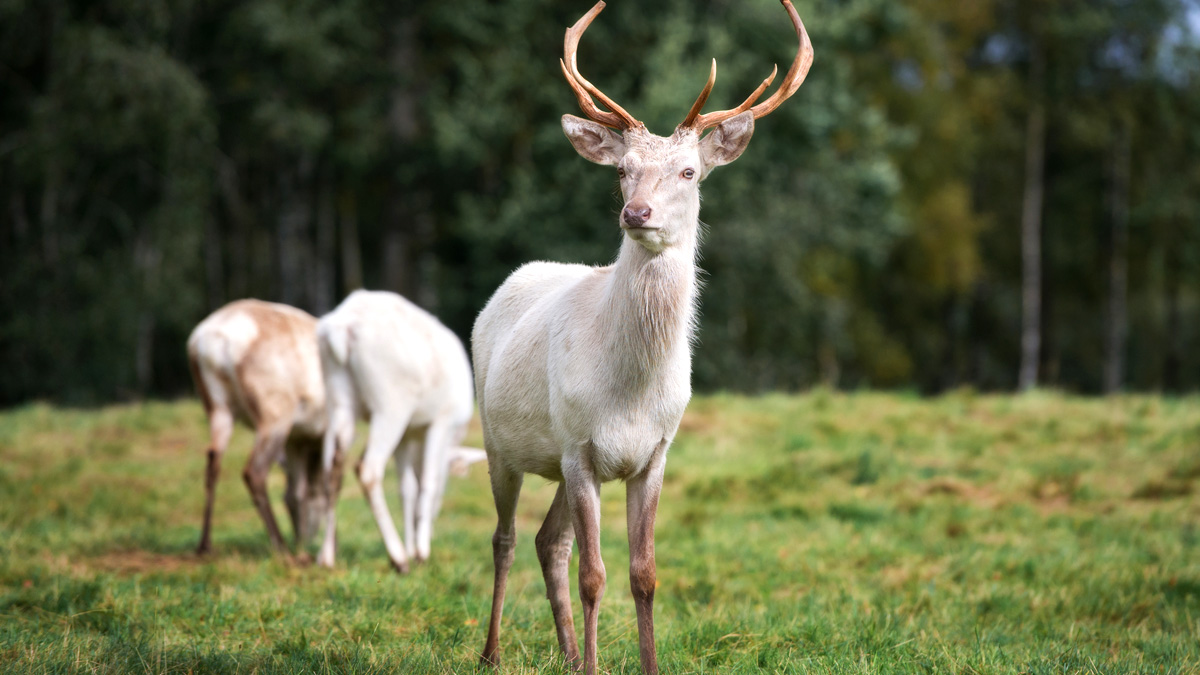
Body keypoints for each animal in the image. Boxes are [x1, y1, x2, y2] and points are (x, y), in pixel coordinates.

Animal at [187, 299, 328, 559]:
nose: (308, 538)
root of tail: (213, 341)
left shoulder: (296, 438)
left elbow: (297, 490)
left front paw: (302, 545)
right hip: (274, 410)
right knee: (254, 471)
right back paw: (281, 546)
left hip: (216, 406)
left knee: (212, 461)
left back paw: (204, 545)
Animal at [315, 290, 486, 573]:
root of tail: (342, 327)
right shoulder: (443, 421)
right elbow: (427, 482)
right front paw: (420, 552)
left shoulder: (407, 436)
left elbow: (407, 489)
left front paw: (412, 544)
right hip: (391, 403)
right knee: (368, 470)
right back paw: (397, 557)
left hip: (336, 398)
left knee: (331, 470)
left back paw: (326, 557)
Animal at [471, 1, 812, 672]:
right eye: (624, 171)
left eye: (689, 170)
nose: (637, 213)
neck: (628, 391)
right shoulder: (580, 447)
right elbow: (595, 576)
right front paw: (597, 664)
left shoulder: (654, 451)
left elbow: (643, 574)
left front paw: (641, 661)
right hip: (501, 441)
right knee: (505, 537)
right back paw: (494, 651)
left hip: (556, 458)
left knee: (548, 541)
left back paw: (567, 653)